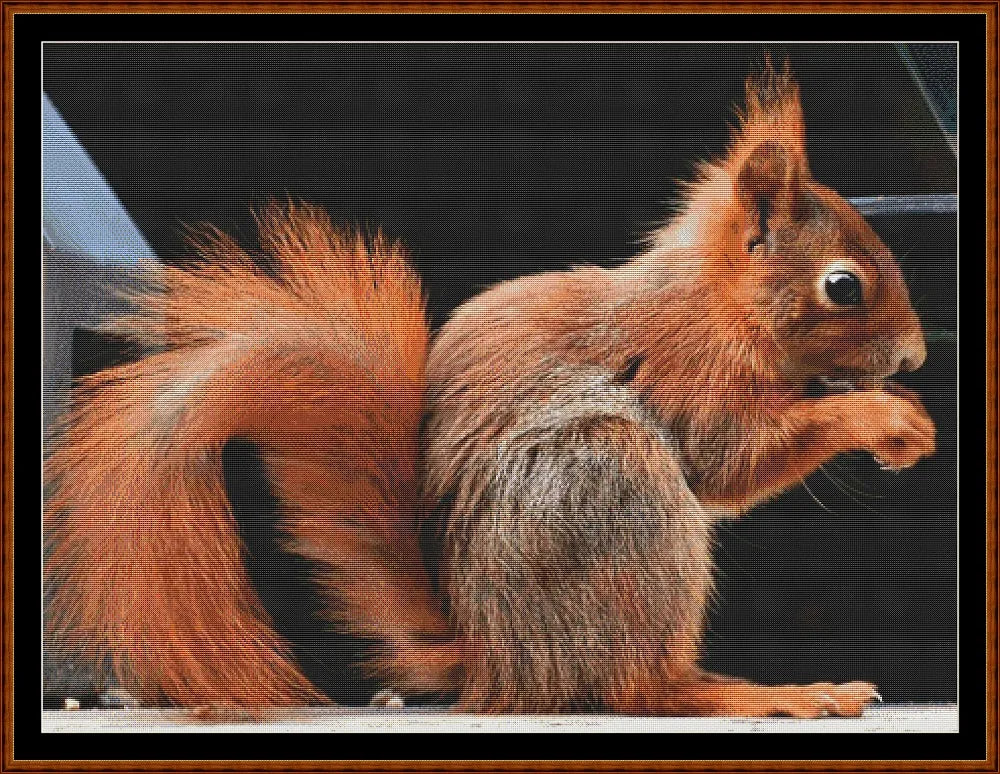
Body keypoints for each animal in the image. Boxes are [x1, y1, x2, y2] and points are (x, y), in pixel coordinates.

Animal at [44, 60, 935, 717]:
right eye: (843, 287)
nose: (916, 357)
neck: (717, 301)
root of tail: (497, 660)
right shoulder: (692, 373)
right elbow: (733, 459)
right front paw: (886, 417)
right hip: (611, 483)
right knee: (640, 686)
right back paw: (769, 694)